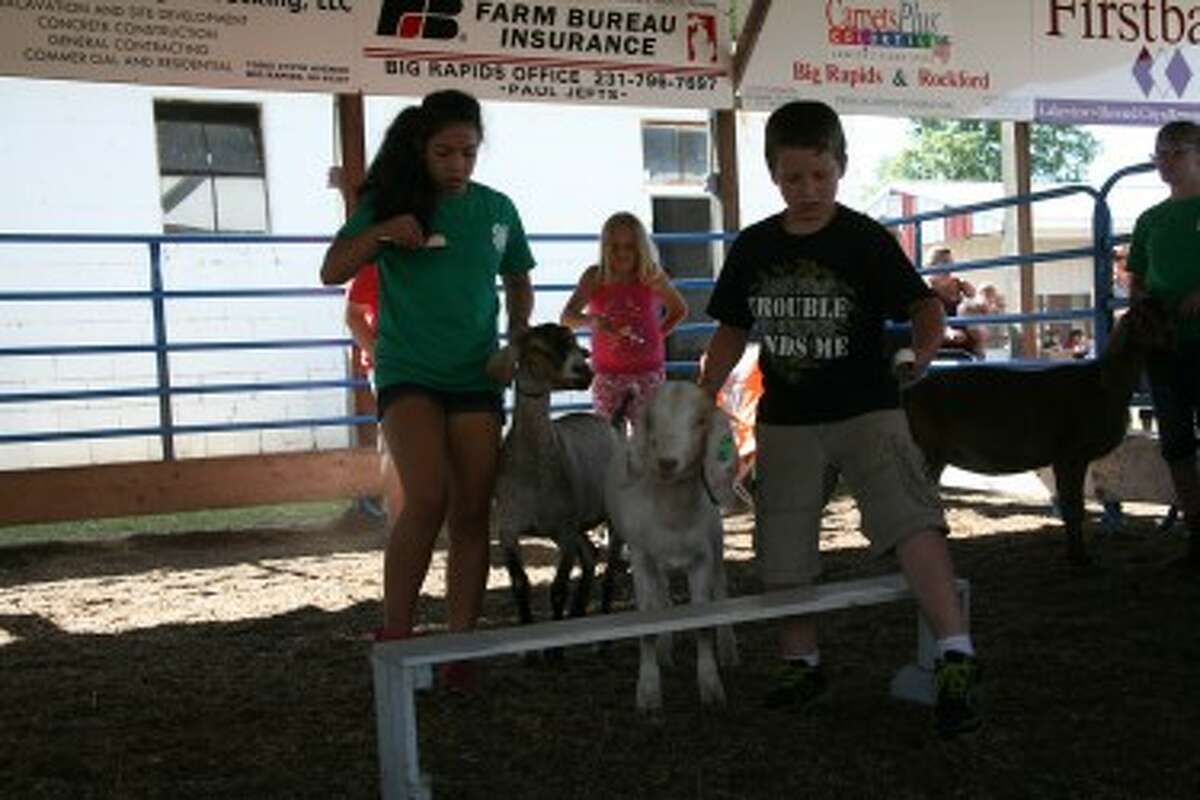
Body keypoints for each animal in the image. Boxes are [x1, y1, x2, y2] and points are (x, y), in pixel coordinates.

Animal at [490, 323, 620, 631]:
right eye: (538, 347)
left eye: (573, 342)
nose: (585, 372)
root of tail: (607, 423)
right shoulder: (509, 530)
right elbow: (519, 585)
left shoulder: (564, 530)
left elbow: (558, 589)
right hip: (574, 525)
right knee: (590, 555)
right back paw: (578, 613)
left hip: (611, 515)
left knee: (610, 569)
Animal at [605, 380, 739, 714]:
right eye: (653, 420)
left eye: (700, 421)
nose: (667, 463)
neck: (672, 516)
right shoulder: (641, 558)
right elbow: (648, 620)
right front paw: (649, 691)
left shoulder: (702, 558)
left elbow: (704, 622)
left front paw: (711, 686)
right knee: (663, 599)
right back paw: (665, 652)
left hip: (717, 543)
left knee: (722, 588)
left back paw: (728, 651)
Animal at [903, 298, 1173, 565]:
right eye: (1150, 317)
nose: (1172, 337)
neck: (1105, 385)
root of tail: (906, 393)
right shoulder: (1069, 455)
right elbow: (1073, 508)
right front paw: (1079, 557)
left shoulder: (1068, 458)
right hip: (925, 451)